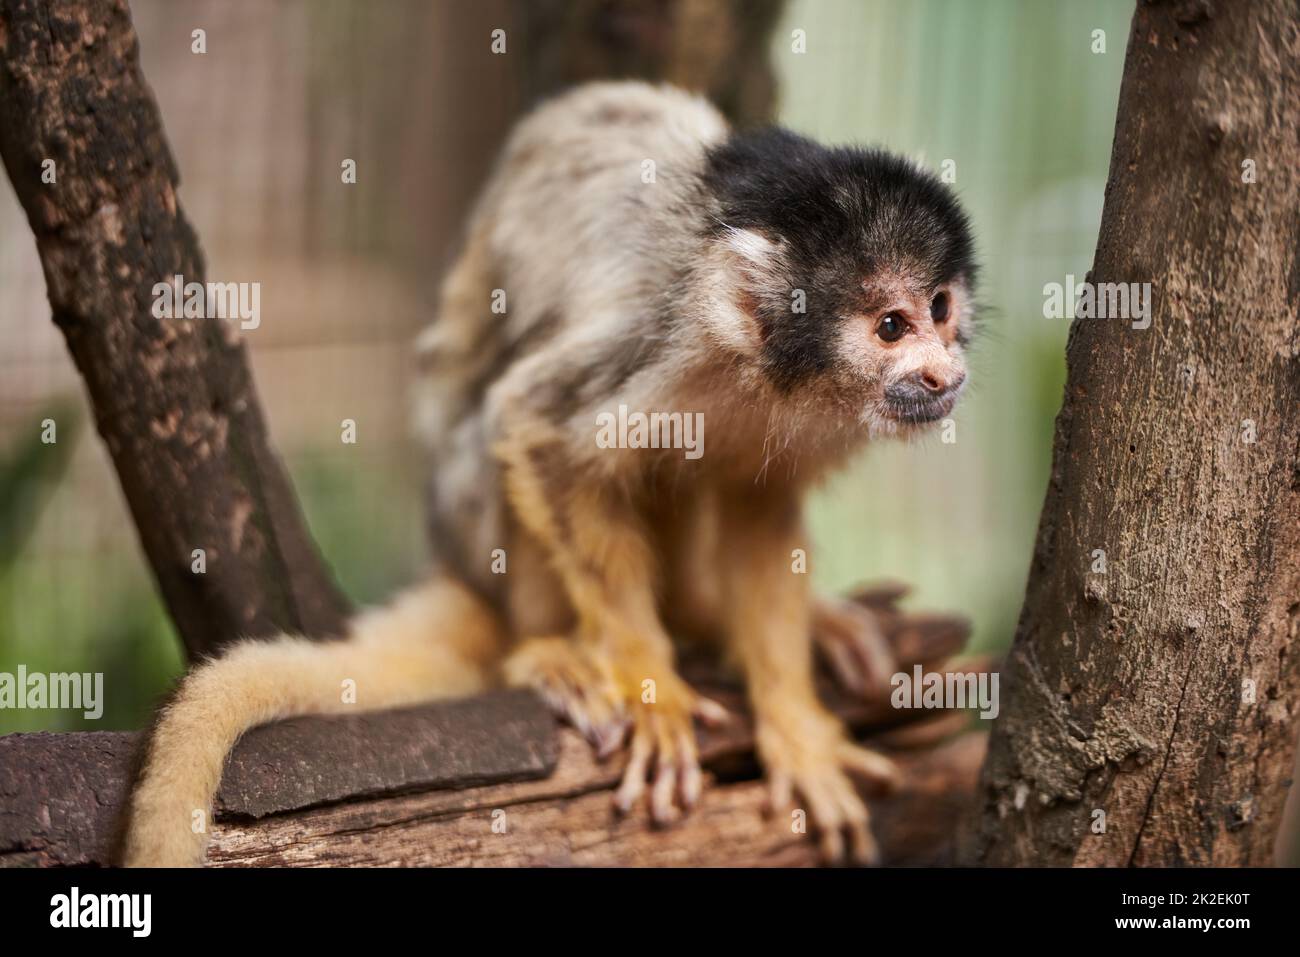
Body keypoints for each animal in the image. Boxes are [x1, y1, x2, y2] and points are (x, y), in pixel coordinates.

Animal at [123, 80, 977, 867]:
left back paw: (714, 615)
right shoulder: (658, 345)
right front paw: (647, 682)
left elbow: (757, 504)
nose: (945, 371)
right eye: (891, 326)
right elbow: (536, 429)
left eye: (939, 308)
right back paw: (546, 650)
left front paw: (794, 725)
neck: (756, 364)